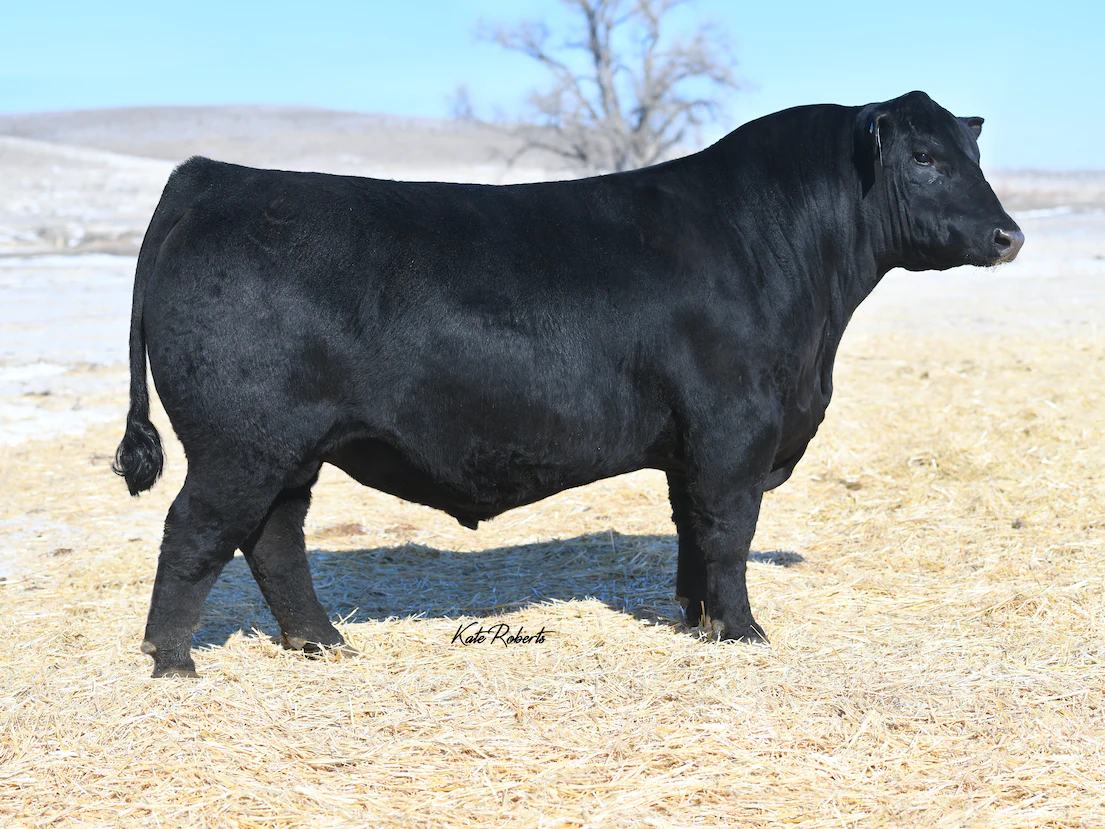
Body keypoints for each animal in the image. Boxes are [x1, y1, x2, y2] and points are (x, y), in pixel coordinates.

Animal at [115, 91, 1023, 677]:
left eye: (973, 153)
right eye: (923, 157)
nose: (1007, 235)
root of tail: (217, 175)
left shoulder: (693, 444)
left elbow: (691, 533)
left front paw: (696, 619)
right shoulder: (733, 431)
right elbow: (727, 533)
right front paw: (743, 631)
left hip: (287, 449)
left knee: (274, 537)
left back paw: (320, 642)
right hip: (241, 442)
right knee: (197, 530)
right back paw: (174, 661)